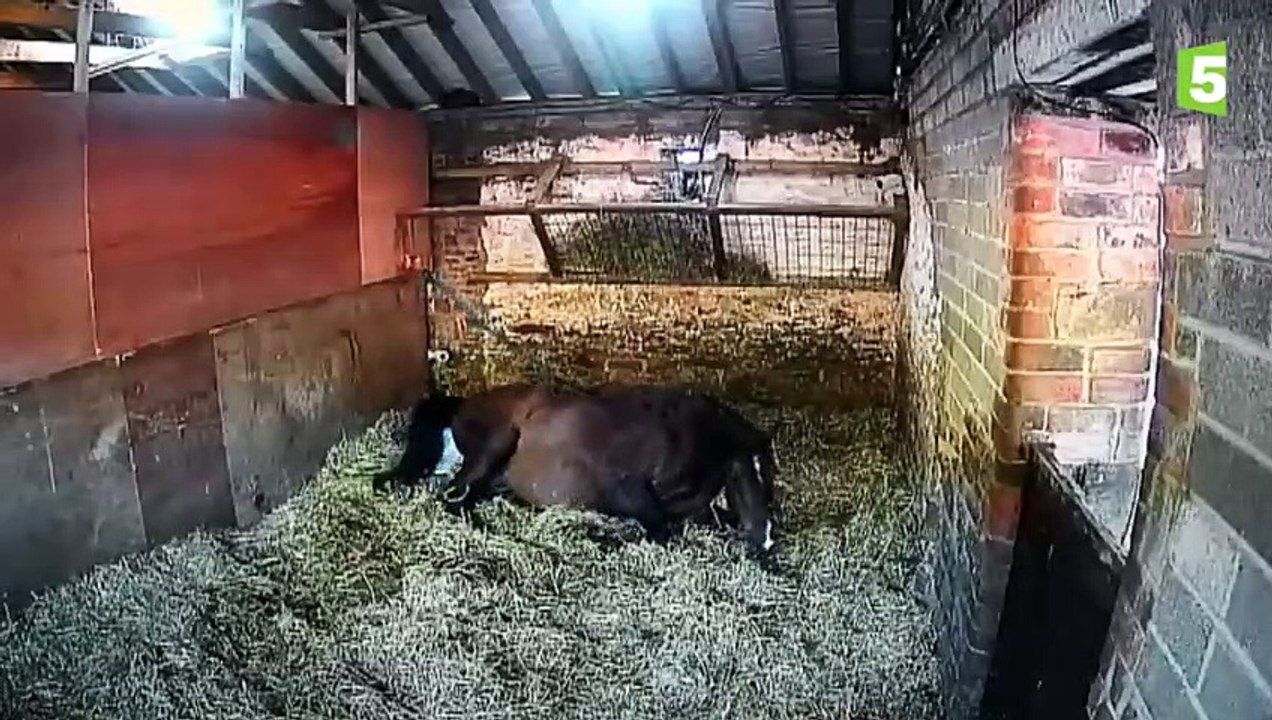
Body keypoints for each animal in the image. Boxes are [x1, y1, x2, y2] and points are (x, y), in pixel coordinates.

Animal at [372, 382, 780, 554]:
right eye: (749, 473)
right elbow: (659, 530)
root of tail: (465, 402)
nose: (766, 541)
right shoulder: (624, 486)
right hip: (492, 448)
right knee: (453, 498)